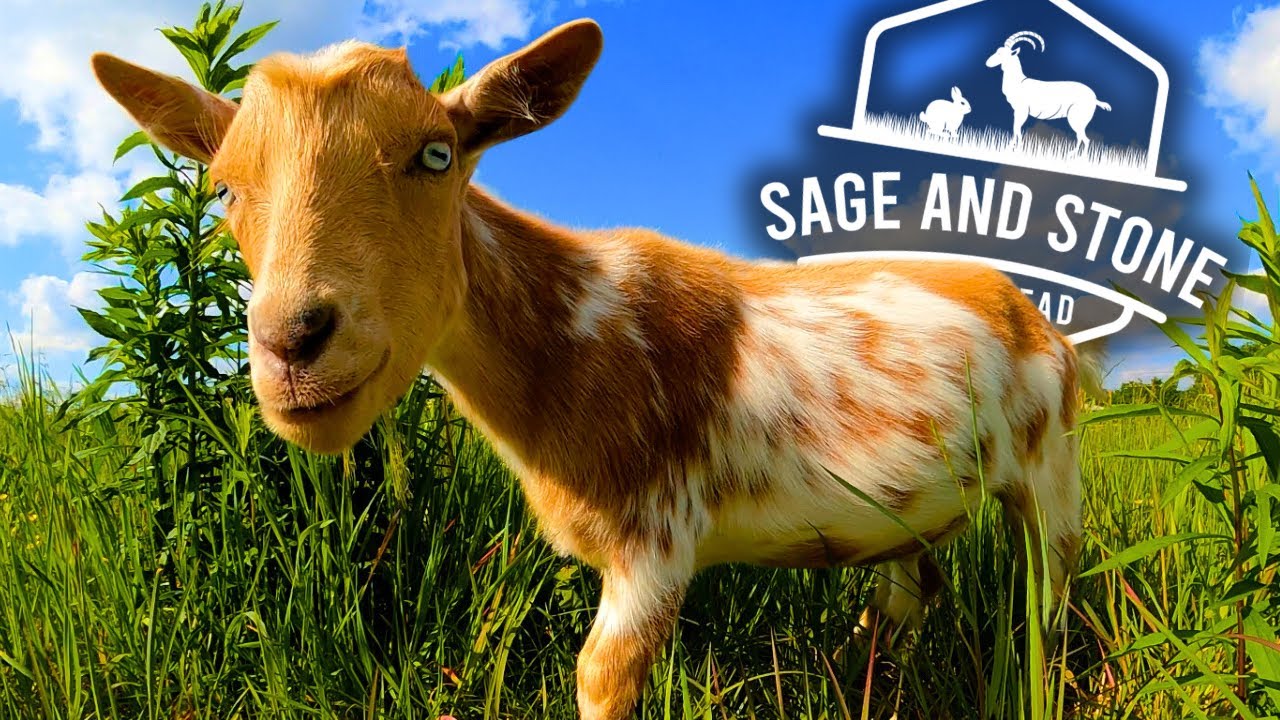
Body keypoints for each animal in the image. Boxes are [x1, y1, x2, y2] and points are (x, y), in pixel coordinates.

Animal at [93, 20, 1098, 720]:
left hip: (1052, 470)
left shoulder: (656, 536)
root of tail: (1028, 310)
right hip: (905, 514)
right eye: (223, 186)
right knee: (910, 590)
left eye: (436, 153)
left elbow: (599, 678)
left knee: (1048, 594)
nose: (292, 343)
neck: (568, 333)